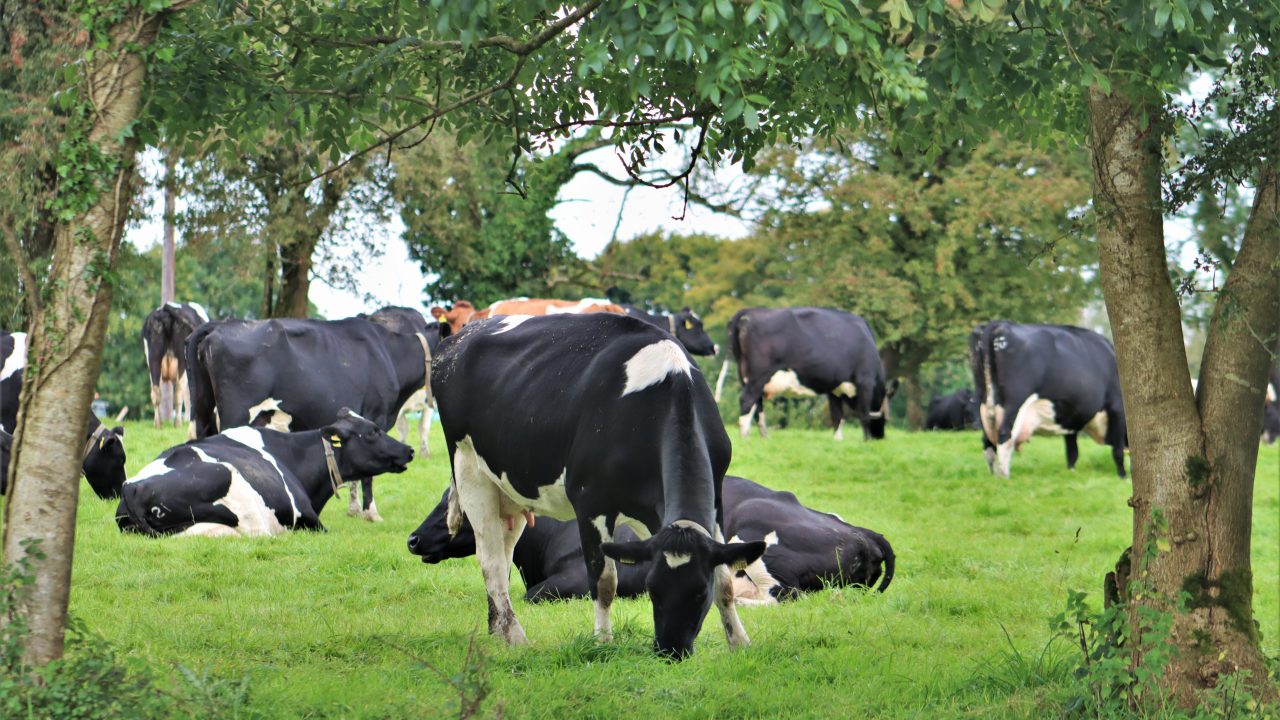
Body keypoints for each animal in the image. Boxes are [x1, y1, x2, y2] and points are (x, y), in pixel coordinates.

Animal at [186, 309, 432, 521]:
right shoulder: (375, 414)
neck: (389, 354)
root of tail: (221, 323)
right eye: (374, 432)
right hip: (236, 413)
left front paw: (354, 510)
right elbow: (367, 473)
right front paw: (371, 513)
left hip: (202, 408)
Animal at [408, 475, 894, 604]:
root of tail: (864, 532)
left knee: (776, 593)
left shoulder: (579, 577)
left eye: (457, 507)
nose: (412, 539)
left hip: (755, 528)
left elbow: (533, 596)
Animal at [432, 312, 764, 659]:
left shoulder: (714, 503)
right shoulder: (590, 502)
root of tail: (460, 334)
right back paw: (516, 636)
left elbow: (726, 580)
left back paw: (499, 631)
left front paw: (739, 642)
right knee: (492, 560)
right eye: (653, 590)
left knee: (505, 553)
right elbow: (603, 581)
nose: (670, 650)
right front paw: (603, 642)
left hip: (509, 489)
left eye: (700, 592)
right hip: (470, 469)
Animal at [725, 307, 895, 441]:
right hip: (759, 375)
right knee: (747, 400)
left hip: (747, 377)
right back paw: (744, 436)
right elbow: (864, 413)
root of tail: (750, 311)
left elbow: (837, 415)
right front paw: (866, 440)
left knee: (757, 405)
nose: (880, 437)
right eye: (885, 419)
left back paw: (764, 436)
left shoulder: (834, 389)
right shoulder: (865, 380)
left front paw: (838, 440)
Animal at [970, 321, 1127, 478]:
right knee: (1004, 437)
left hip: (984, 407)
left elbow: (1072, 452)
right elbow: (1117, 450)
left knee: (988, 444)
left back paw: (994, 476)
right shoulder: (1117, 407)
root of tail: (998, 324)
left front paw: (1071, 473)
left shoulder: (1071, 417)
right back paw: (1005, 477)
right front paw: (1123, 476)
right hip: (1014, 405)